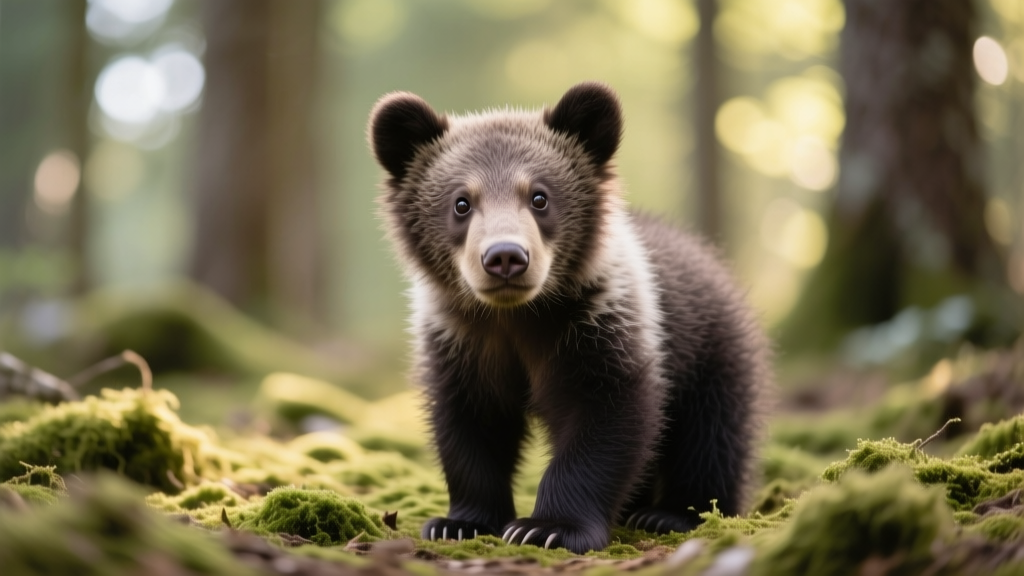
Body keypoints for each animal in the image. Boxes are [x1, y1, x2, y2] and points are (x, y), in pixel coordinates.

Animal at [367, 82, 770, 554]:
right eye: (462, 202)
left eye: (539, 196)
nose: (505, 257)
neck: (518, 316)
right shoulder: (462, 342)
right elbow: (470, 427)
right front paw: (460, 522)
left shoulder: (599, 328)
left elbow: (605, 422)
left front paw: (547, 527)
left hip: (709, 352)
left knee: (711, 439)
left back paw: (671, 513)